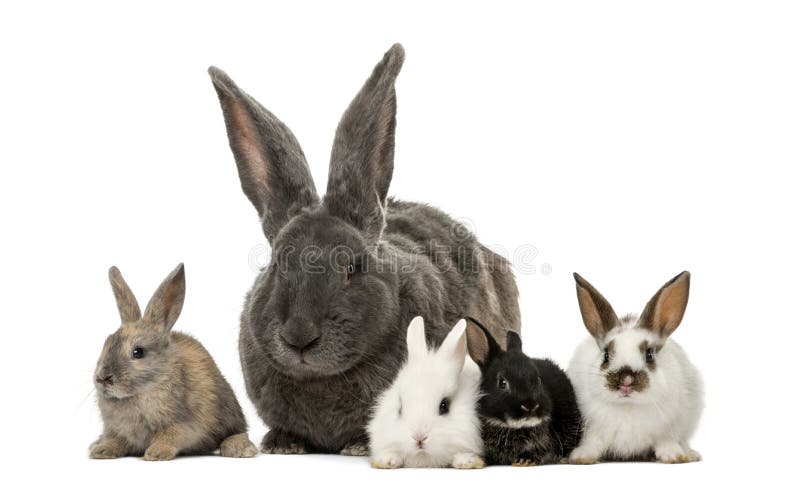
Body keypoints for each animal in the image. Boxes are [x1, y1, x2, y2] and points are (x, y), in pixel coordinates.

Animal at [89, 264, 258, 460]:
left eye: (138, 352)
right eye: (106, 344)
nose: (103, 378)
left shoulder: (182, 424)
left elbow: (170, 437)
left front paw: (155, 453)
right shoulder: (116, 430)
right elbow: (115, 440)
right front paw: (101, 450)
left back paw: (240, 449)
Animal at [567, 271, 703, 464]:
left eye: (649, 354)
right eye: (606, 355)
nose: (626, 381)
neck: (628, 406)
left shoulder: (668, 427)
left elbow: (666, 441)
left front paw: (673, 456)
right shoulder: (593, 429)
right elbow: (593, 442)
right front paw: (582, 457)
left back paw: (691, 454)